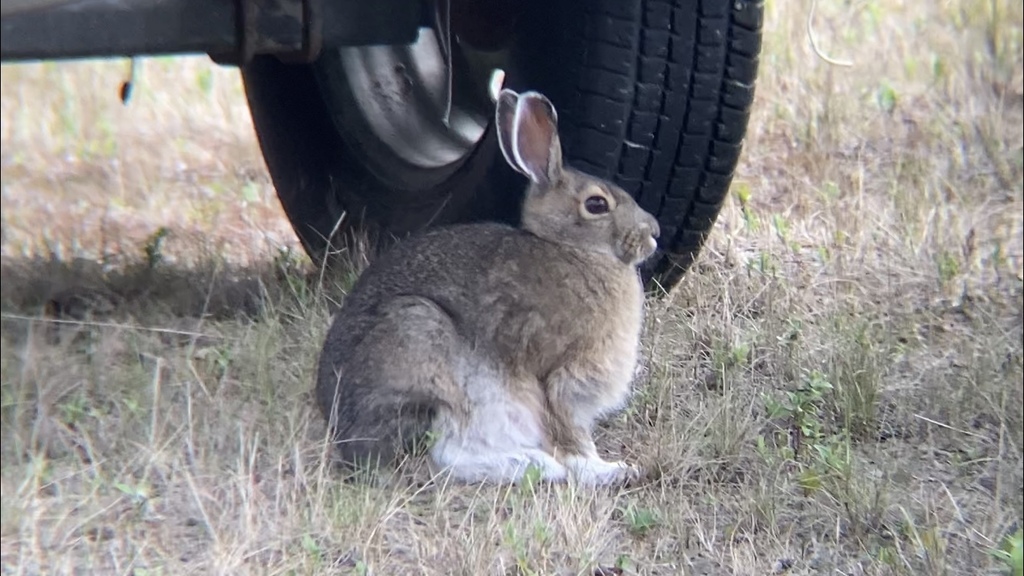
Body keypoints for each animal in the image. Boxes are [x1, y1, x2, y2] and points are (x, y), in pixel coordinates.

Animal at [315, 88, 660, 486]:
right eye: (596, 204)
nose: (654, 232)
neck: (574, 251)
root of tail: (341, 428)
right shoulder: (560, 379)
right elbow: (572, 437)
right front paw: (606, 470)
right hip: (421, 341)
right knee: (446, 453)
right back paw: (540, 466)